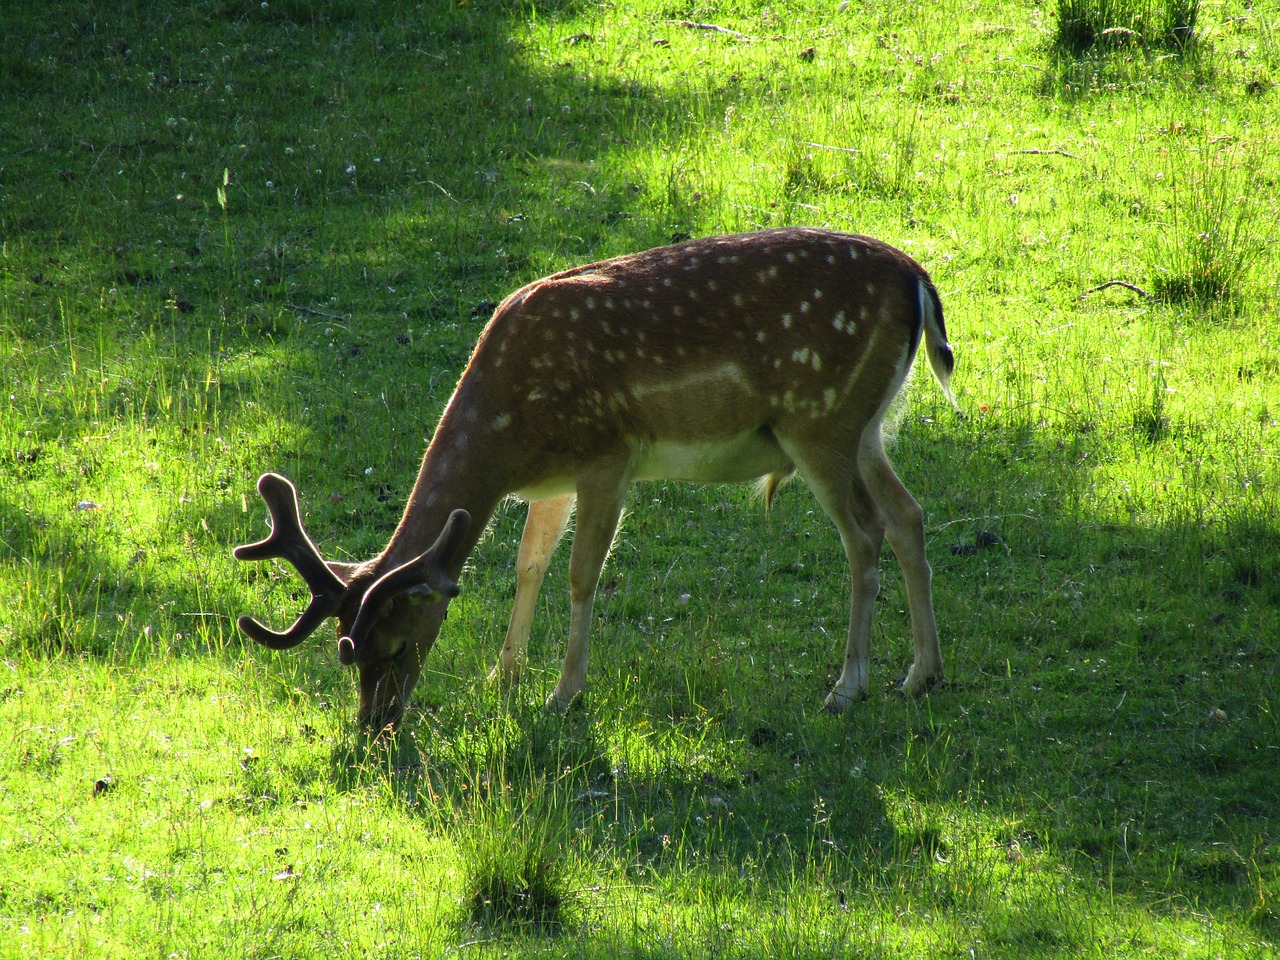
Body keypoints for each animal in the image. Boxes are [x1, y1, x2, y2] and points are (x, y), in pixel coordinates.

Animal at [234, 226, 958, 732]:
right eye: (345, 651)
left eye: (393, 641)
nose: (374, 724)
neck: (509, 431)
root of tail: (918, 281)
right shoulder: (552, 481)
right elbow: (529, 564)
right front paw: (502, 676)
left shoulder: (610, 455)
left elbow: (582, 574)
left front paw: (564, 693)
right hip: (866, 426)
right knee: (909, 515)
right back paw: (920, 674)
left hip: (819, 418)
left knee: (864, 533)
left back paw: (848, 686)